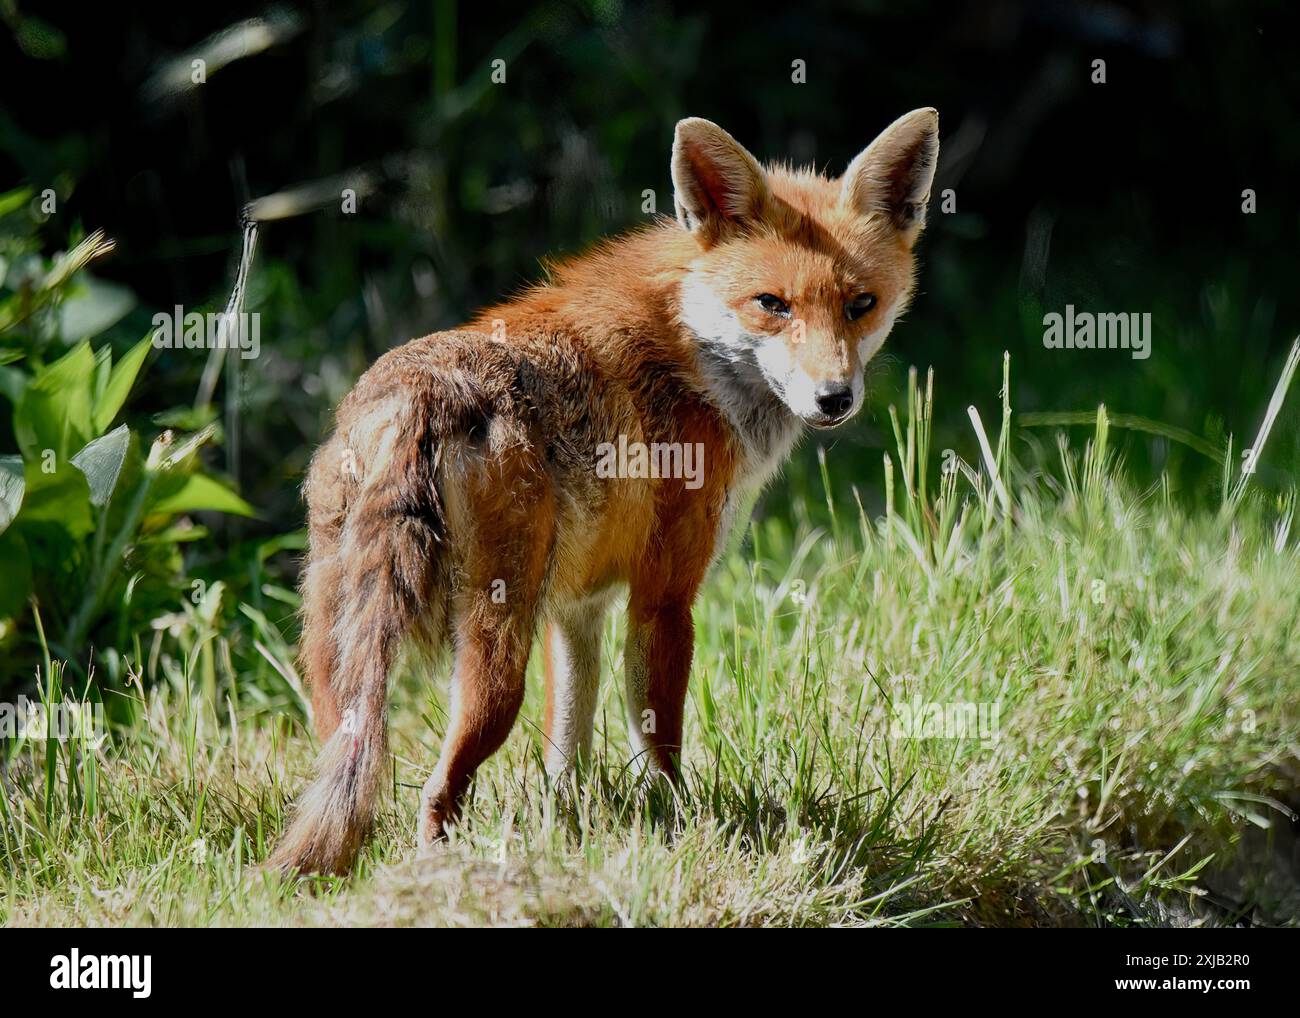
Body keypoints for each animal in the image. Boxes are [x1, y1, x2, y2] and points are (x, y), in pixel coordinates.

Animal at [267, 108, 940, 875]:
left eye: (862, 305)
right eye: (772, 304)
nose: (834, 399)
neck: (692, 349)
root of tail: (421, 392)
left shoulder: (577, 607)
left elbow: (568, 754)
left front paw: (570, 835)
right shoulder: (664, 596)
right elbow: (660, 744)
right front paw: (683, 830)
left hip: (338, 651)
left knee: (348, 763)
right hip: (498, 651)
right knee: (439, 787)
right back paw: (443, 868)